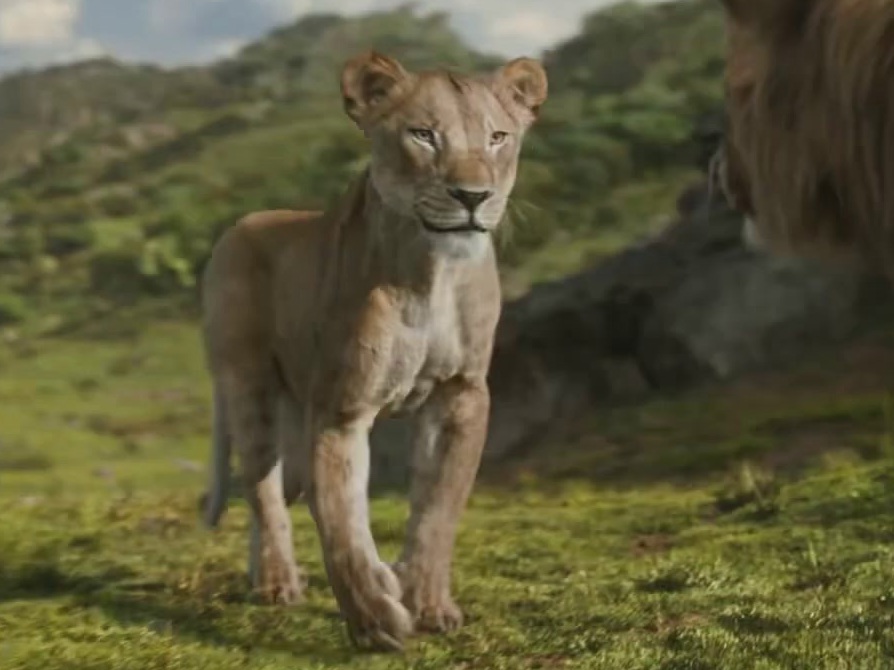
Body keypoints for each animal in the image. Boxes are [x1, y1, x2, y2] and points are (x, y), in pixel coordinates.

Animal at [199, 51, 548, 651]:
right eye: (424, 135)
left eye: (497, 137)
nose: (473, 197)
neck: (432, 272)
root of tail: (241, 224)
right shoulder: (341, 408)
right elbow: (342, 520)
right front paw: (374, 618)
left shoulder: (460, 396)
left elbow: (438, 507)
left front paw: (427, 602)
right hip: (249, 388)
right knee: (262, 488)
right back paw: (277, 582)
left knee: (280, 493)